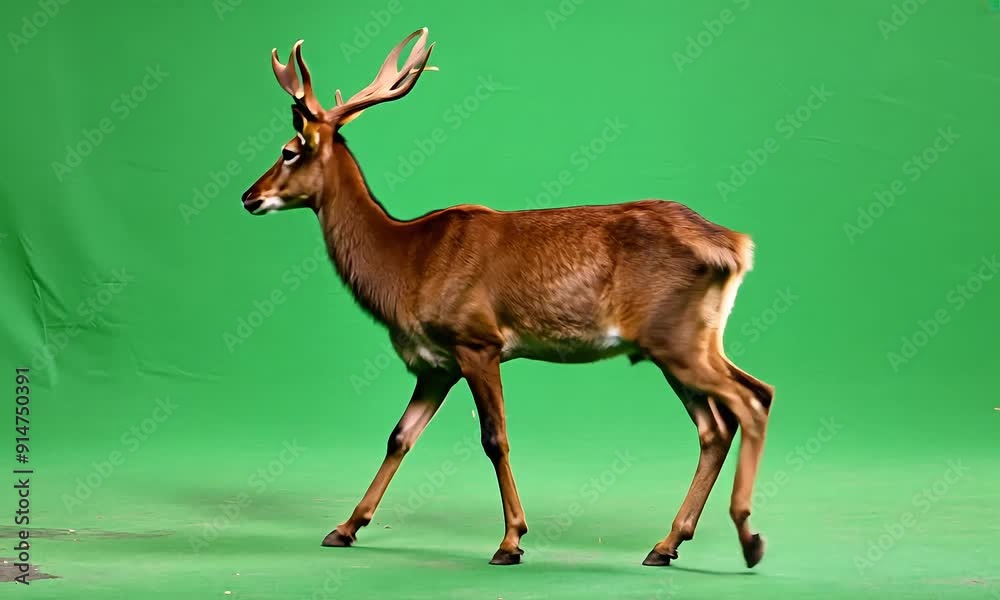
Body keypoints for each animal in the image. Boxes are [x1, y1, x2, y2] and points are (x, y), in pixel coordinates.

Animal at [240, 27, 776, 569]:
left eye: (289, 149)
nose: (248, 196)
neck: (406, 264)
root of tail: (735, 246)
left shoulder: (477, 340)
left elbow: (494, 438)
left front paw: (511, 540)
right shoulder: (436, 363)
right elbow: (399, 437)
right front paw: (346, 527)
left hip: (675, 336)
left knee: (751, 401)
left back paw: (748, 538)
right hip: (689, 338)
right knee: (721, 422)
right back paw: (666, 544)